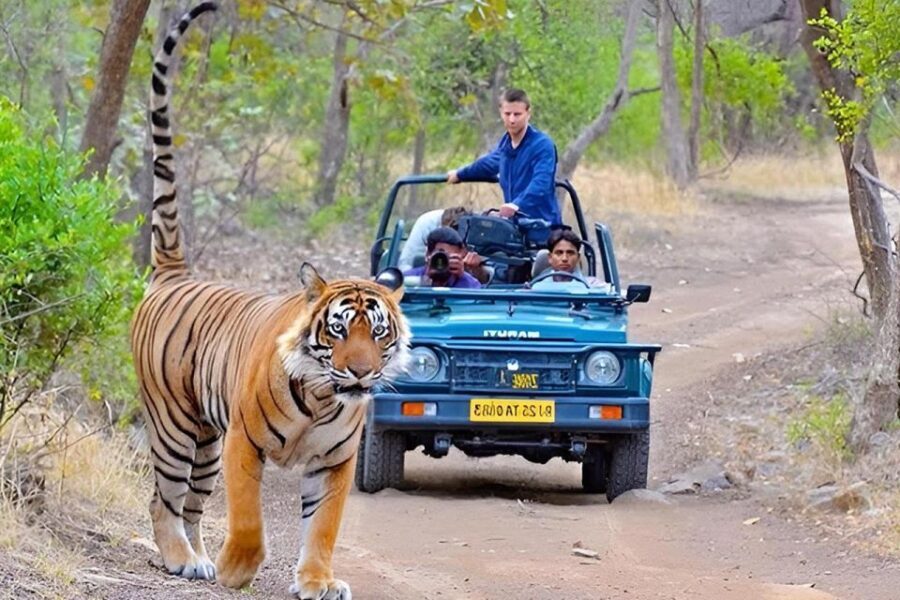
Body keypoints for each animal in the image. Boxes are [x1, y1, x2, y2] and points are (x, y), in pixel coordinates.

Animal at [130, 3, 410, 598]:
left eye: (378, 333)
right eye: (338, 330)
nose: (360, 374)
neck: (325, 396)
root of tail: (173, 274)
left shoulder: (334, 463)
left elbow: (323, 527)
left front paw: (319, 581)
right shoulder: (244, 442)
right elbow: (249, 517)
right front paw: (239, 569)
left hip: (206, 441)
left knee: (191, 505)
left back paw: (198, 557)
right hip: (175, 425)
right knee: (162, 498)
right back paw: (181, 558)